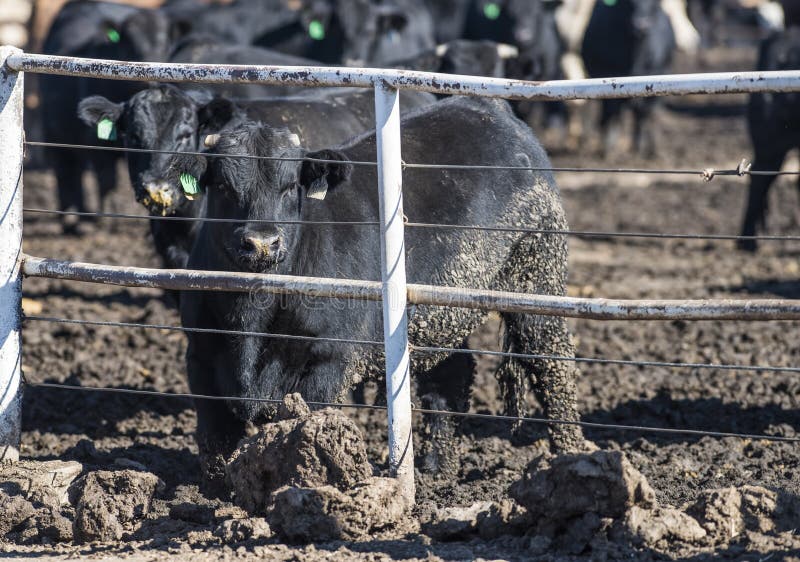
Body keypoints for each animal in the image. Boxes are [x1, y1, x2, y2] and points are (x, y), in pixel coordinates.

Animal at [170, 96, 585, 491]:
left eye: (290, 187)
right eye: (222, 186)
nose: (261, 242)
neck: (251, 320)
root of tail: (487, 108)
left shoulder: (328, 363)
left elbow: (304, 433)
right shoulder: (201, 358)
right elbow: (216, 442)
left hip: (535, 273)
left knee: (552, 362)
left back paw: (570, 455)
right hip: (442, 310)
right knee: (452, 373)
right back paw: (438, 470)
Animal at [581, 0, 676, 156]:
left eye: (655, 3)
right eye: (628, 2)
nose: (641, 25)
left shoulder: (659, 73)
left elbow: (648, 112)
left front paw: (653, 148)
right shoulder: (606, 73)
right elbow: (612, 110)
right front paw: (609, 146)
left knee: (638, 112)